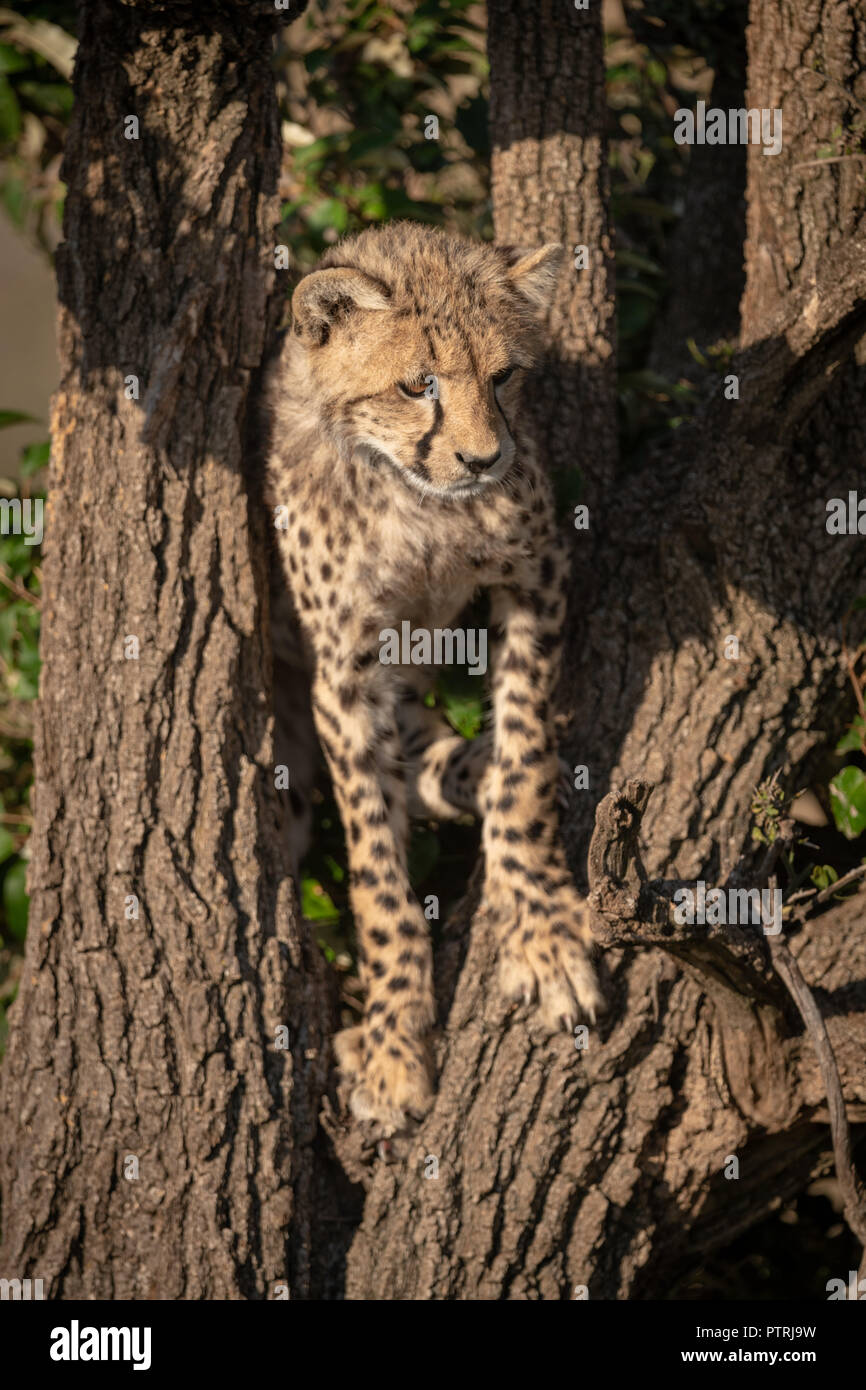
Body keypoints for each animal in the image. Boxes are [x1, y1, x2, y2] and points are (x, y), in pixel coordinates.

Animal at [263, 221, 603, 1134]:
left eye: (504, 376)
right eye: (419, 384)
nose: (483, 459)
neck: (414, 502)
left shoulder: (536, 574)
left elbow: (525, 759)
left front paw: (540, 933)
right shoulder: (345, 669)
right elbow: (377, 878)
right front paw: (392, 1049)